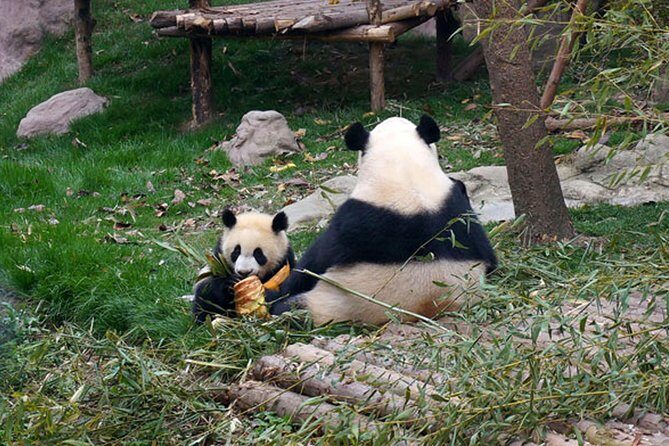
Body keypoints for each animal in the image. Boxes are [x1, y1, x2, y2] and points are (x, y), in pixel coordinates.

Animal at [267, 115, 497, 326]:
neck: (404, 173)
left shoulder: (350, 222)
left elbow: (311, 266)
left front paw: (276, 291)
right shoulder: (458, 207)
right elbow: (489, 256)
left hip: (329, 303)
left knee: (292, 309)